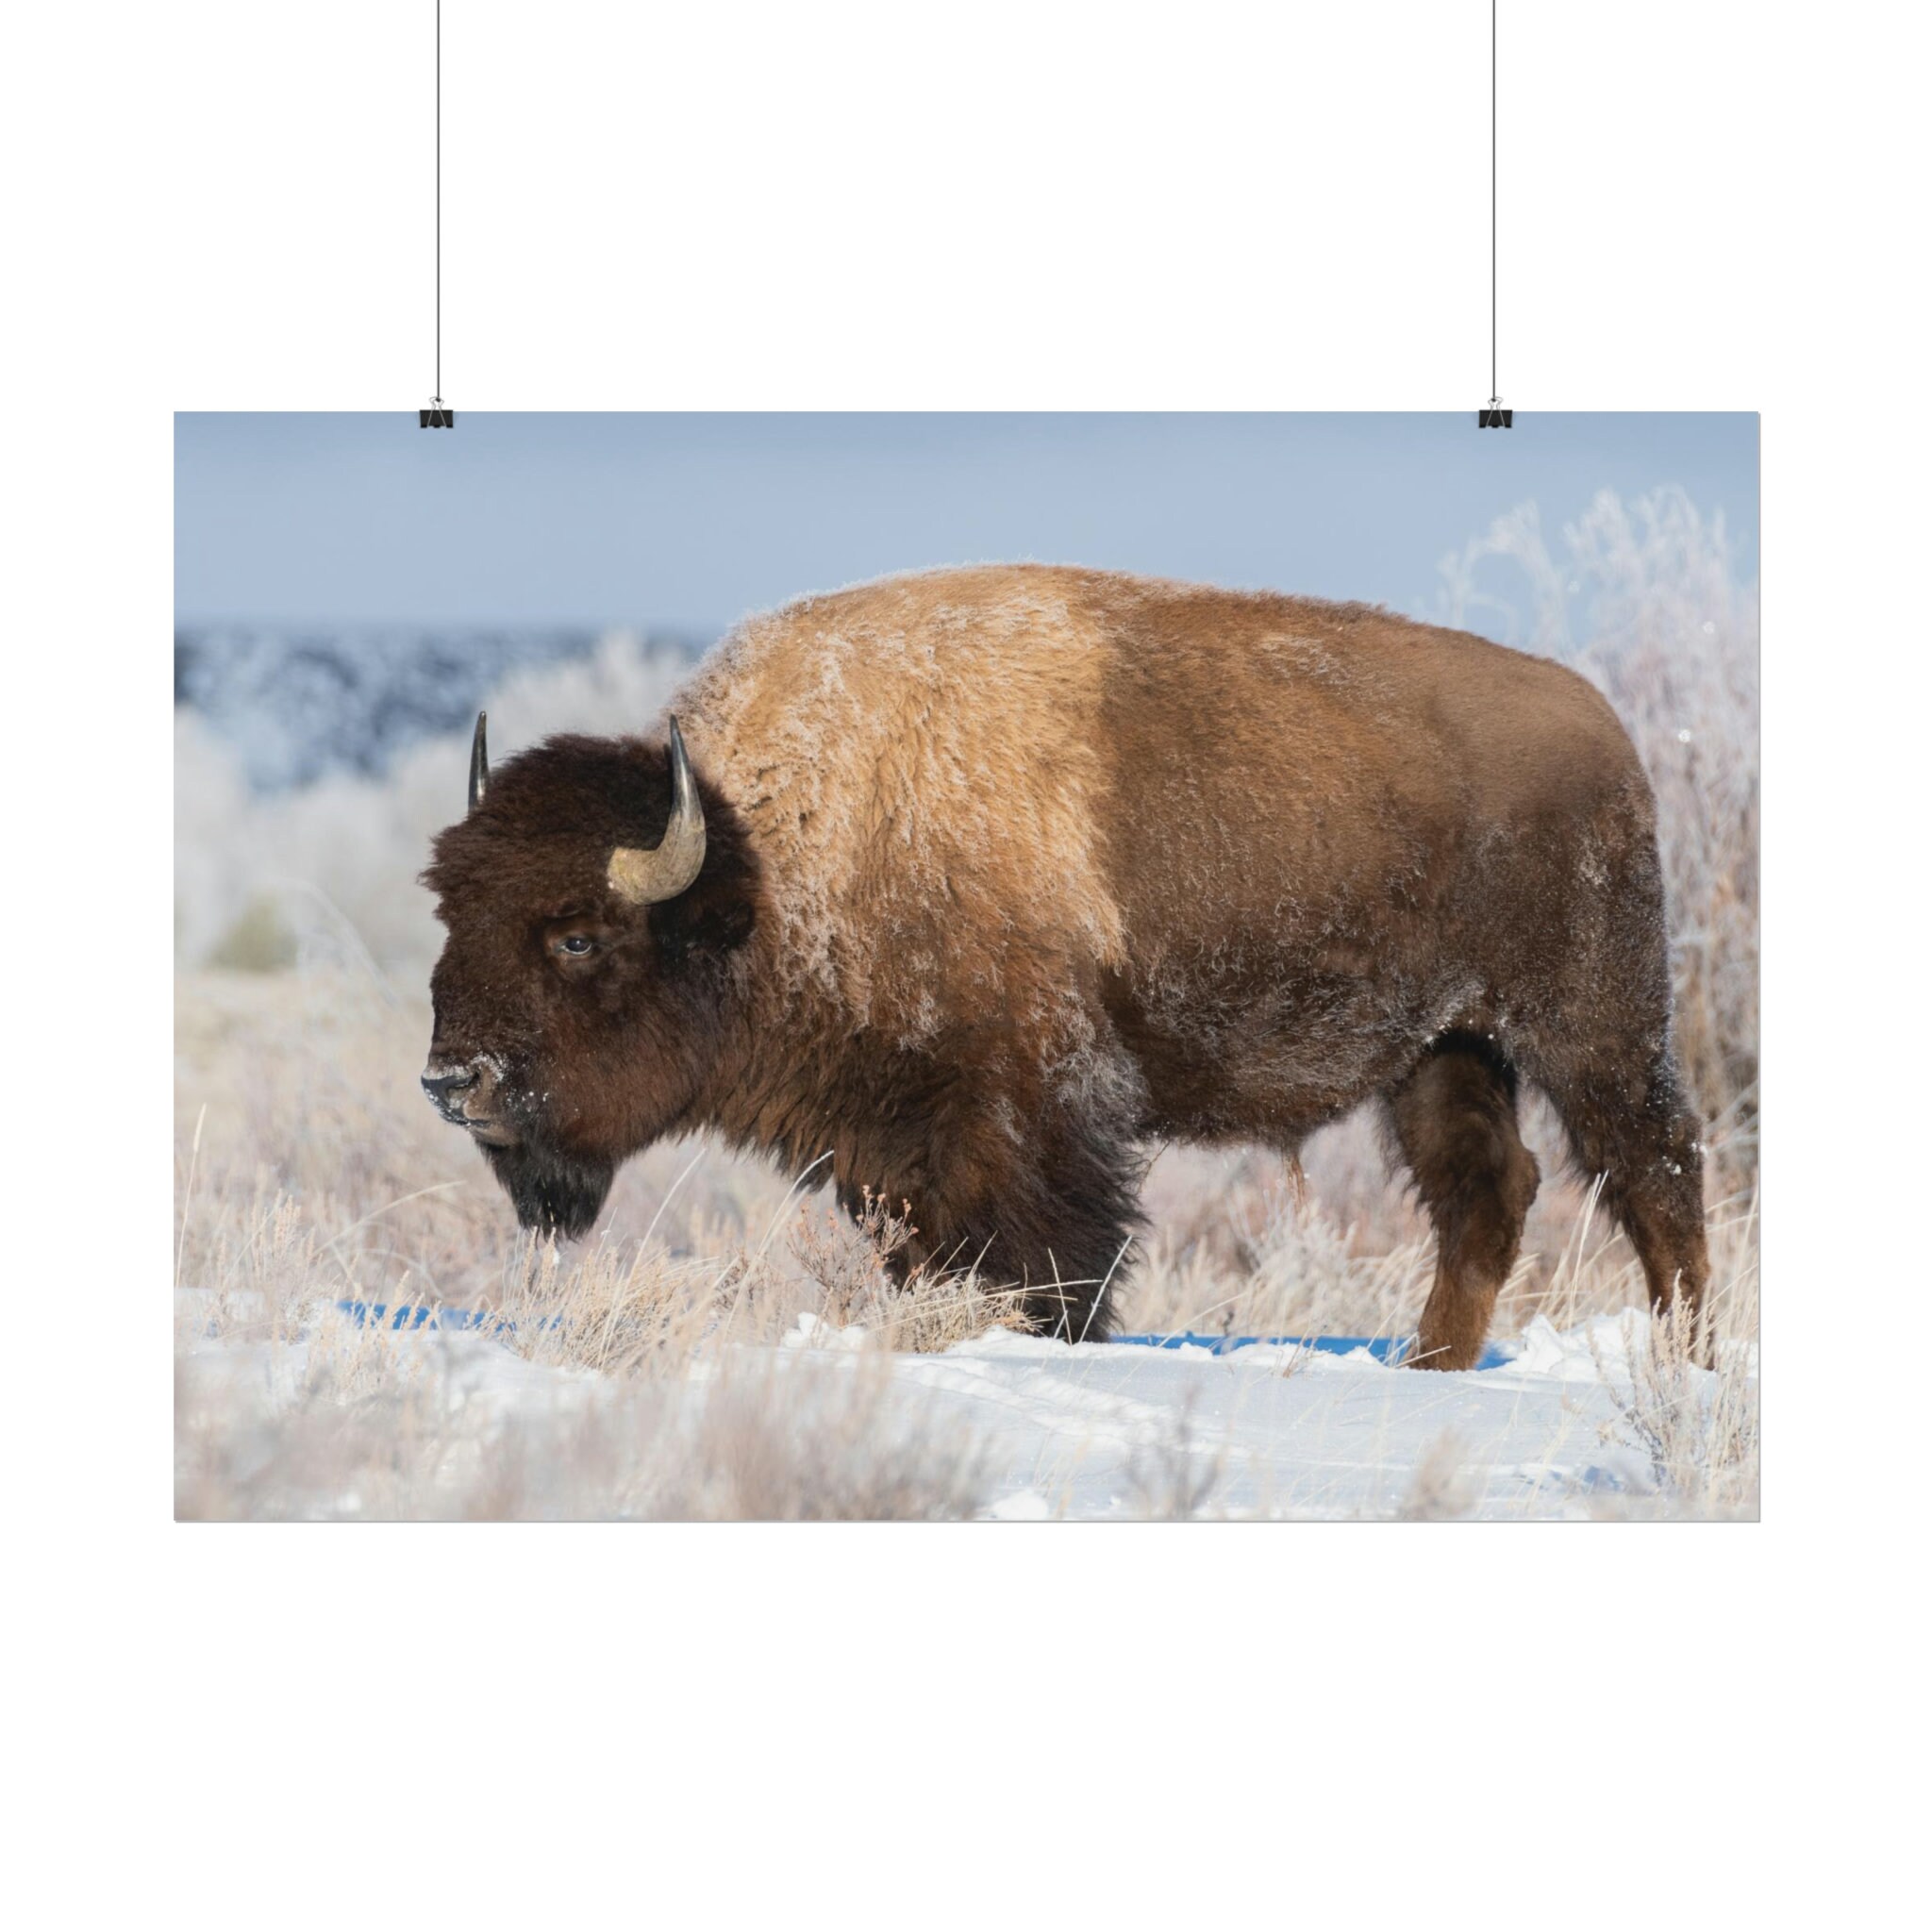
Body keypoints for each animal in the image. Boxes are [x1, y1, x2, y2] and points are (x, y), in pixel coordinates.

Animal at [422, 565, 1708, 1367]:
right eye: (448, 908)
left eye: (575, 933)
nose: (451, 1082)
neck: (766, 857)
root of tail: (1602, 727)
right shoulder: (898, 1154)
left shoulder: (1035, 1120)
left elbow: (1059, 1272)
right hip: (1441, 1050)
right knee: (1486, 1195)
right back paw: (1426, 1367)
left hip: (1587, 1030)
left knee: (1656, 1176)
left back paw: (1685, 1363)